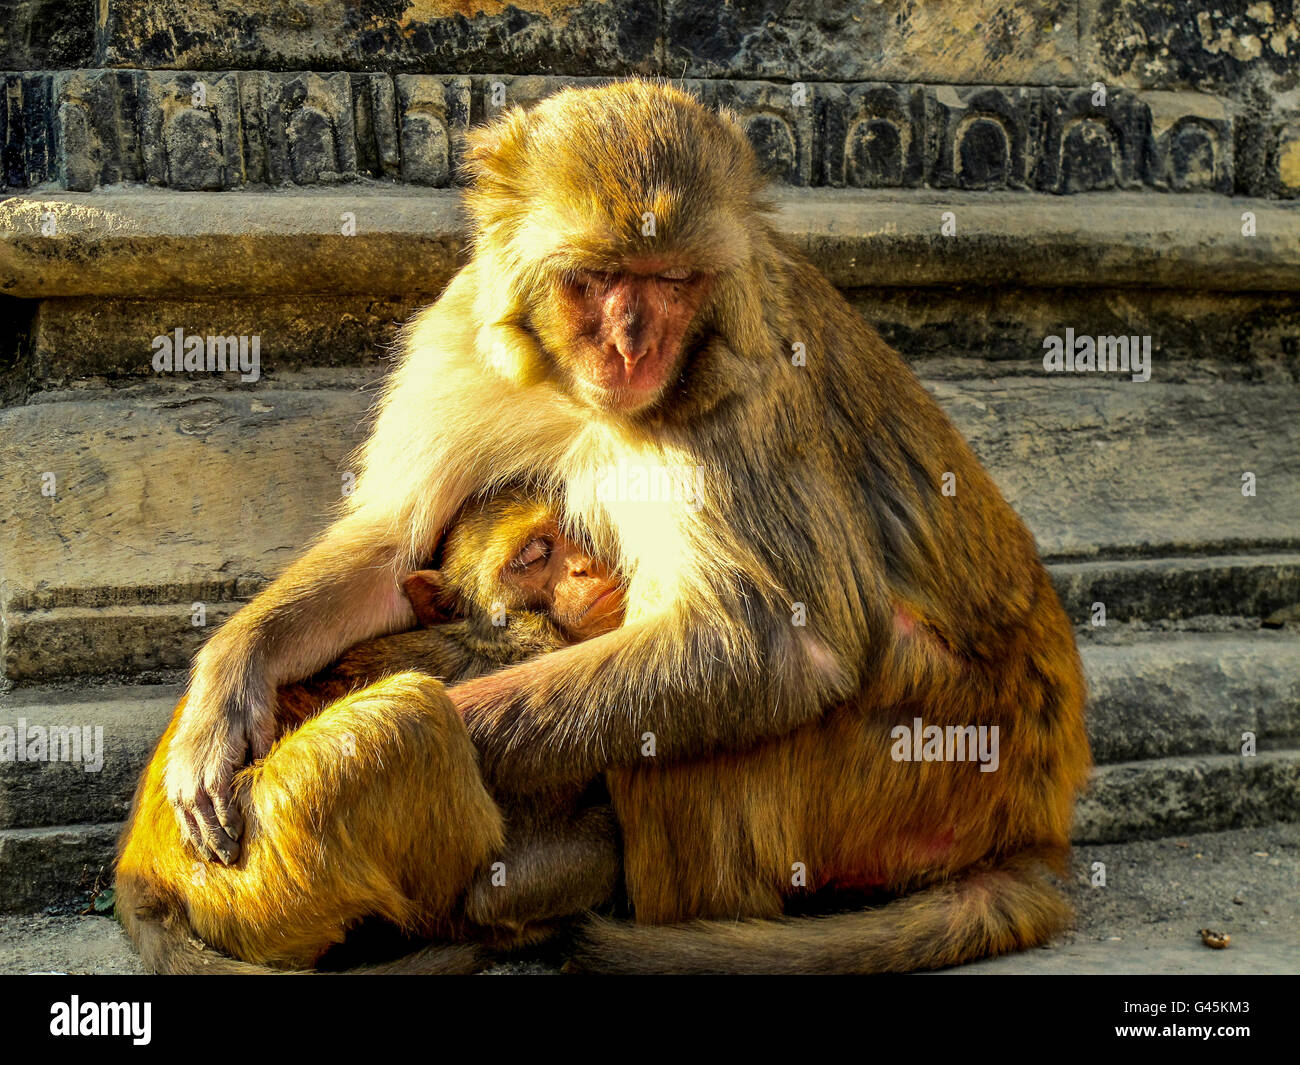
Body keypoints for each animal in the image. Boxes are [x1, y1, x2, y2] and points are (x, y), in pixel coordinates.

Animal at [115, 488, 625, 972]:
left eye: (576, 534)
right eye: (532, 557)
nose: (584, 568)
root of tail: (141, 866)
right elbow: (507, 885)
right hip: (259, 862)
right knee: (410, 715)